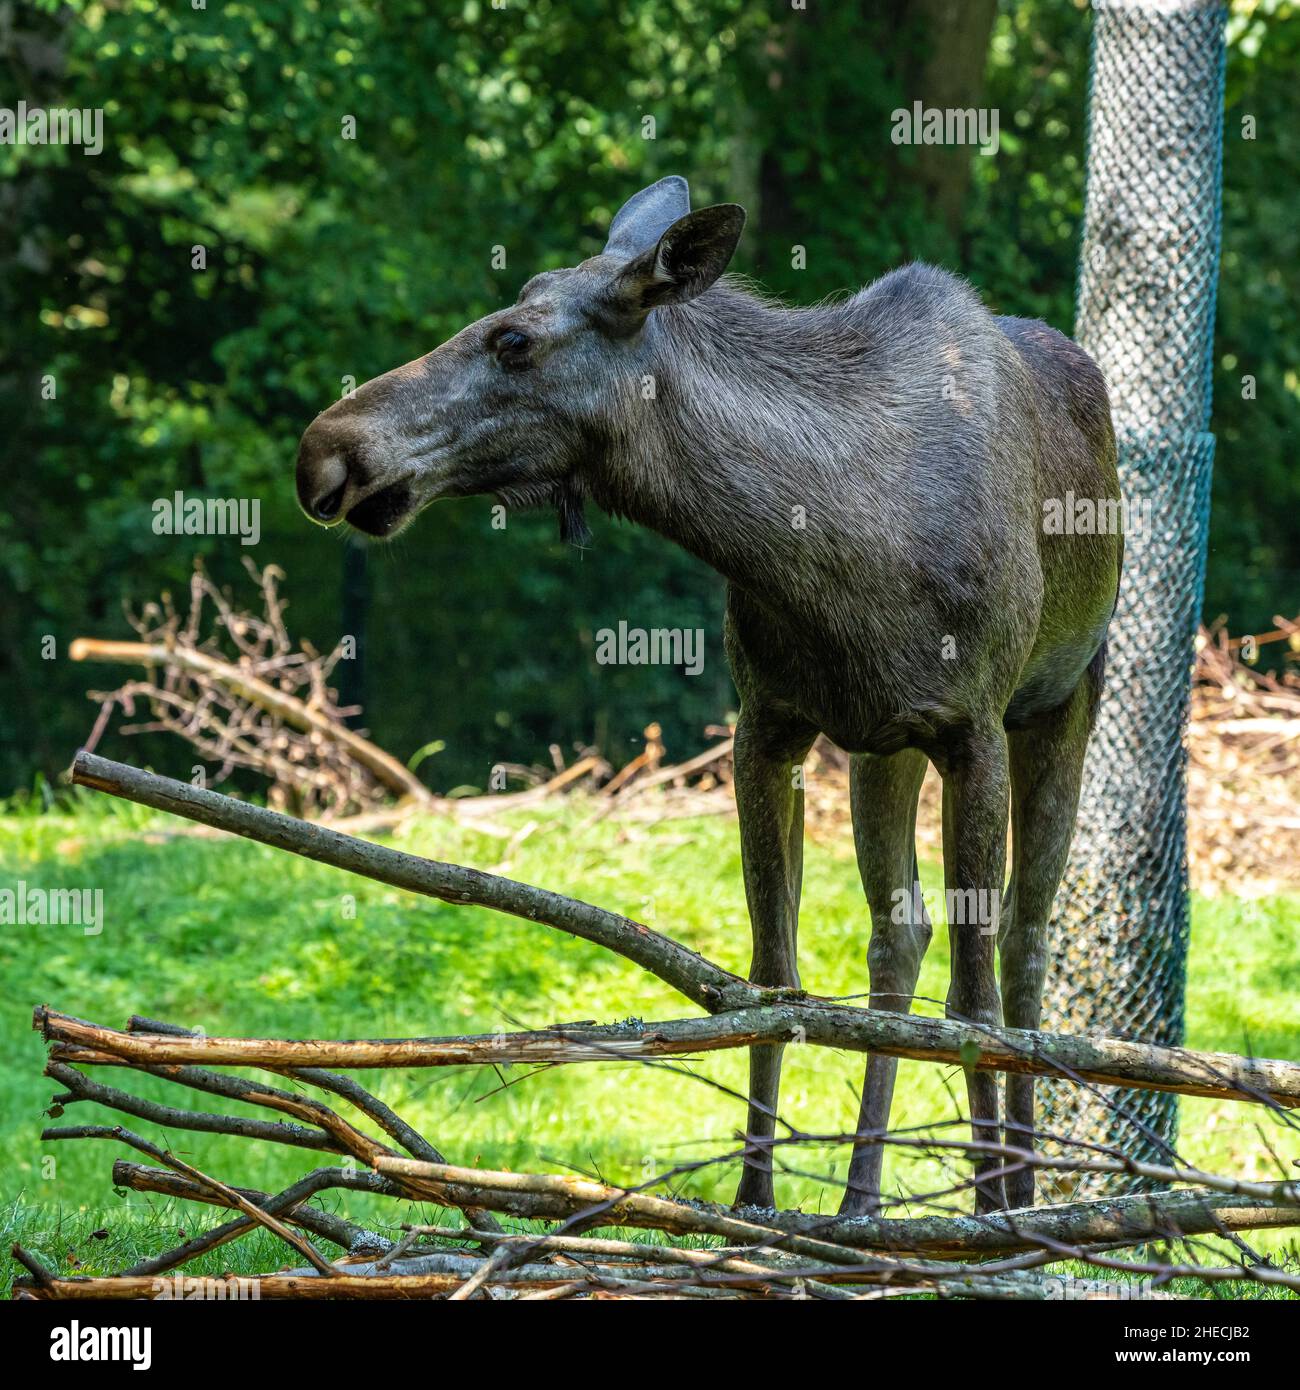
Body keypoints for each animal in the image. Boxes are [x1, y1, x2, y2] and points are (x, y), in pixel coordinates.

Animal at [296, 176, 1122, 1216]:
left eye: (514, 339)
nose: (325, 448)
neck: (825, 556)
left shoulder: (972, 729)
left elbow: (971, 1002)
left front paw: (995, 1213)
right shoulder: (767, 723)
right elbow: (773, 978)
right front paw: (754, 1196)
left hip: (1065, 693)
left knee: (1023, 939)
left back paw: (1025, 1189)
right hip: (882, 748)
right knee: (899, 938)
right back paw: (860, 1198)